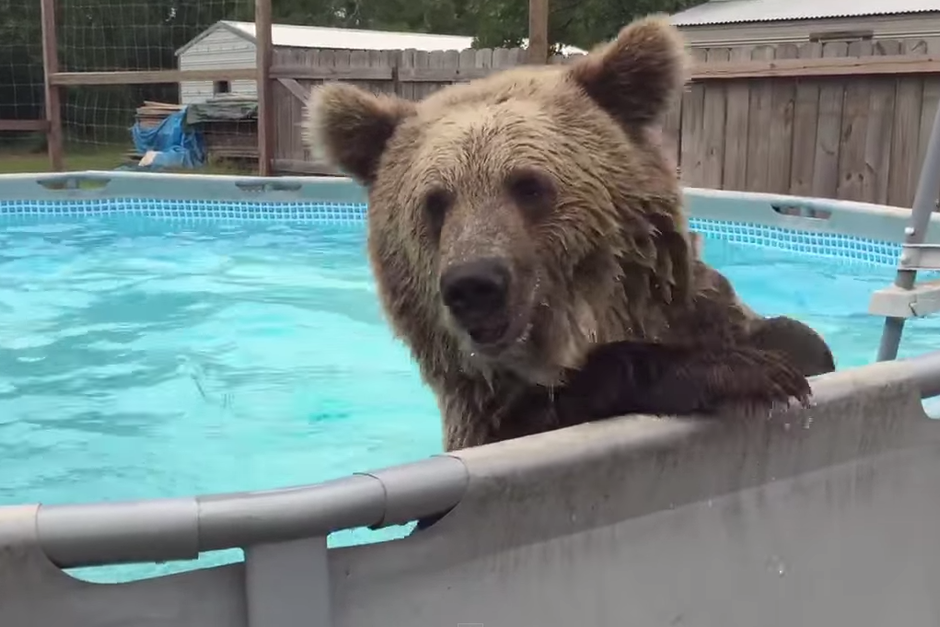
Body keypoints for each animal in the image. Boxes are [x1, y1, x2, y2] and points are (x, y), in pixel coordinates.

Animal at [302, 14, 834, 456]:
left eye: (528, 185)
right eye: (435, 202)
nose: (474, 285)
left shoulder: (696, 307)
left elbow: (800, 341)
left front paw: (780, 358)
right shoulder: (487, 418)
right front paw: (738, 372)